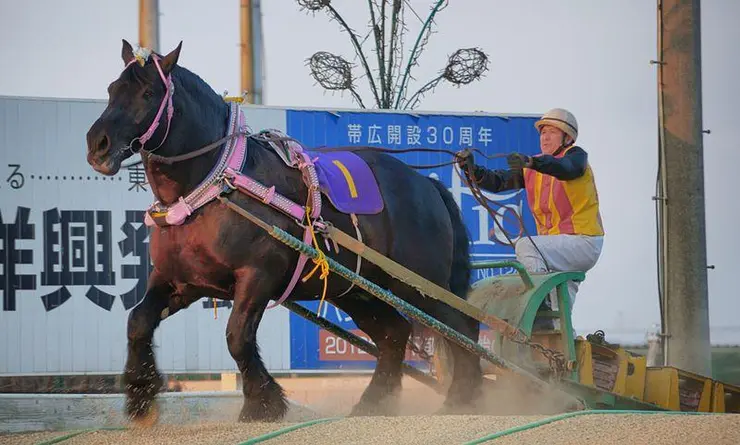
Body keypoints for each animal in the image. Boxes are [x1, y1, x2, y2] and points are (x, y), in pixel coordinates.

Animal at [85, 39, 483, 424]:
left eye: (148, 92)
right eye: (111, 89)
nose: (97, 143)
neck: (217, 184)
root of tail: (427, 183)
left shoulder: (259, 274)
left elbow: (237, 336)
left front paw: (261, 403)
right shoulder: (181, 281)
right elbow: (138, 321)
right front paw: (141, 395)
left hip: (420, 285)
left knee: (462, 329)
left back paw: (463, 398)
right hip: (356, 290)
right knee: (393, 335)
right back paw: (373, 404)